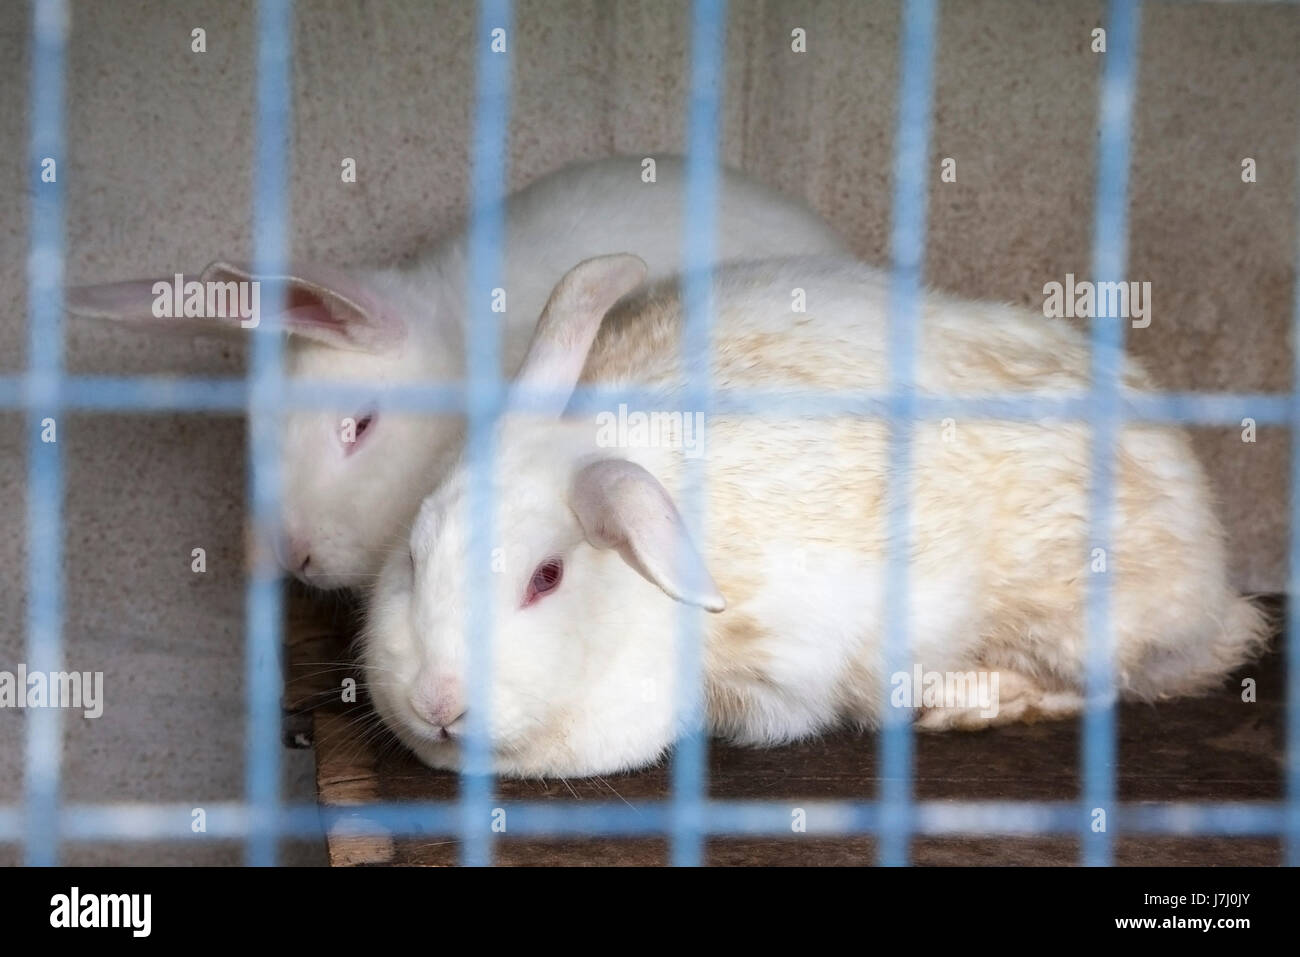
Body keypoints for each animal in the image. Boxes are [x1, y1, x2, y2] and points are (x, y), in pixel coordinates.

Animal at [363, 253, 1269, 778]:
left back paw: (963, 699)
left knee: (1101, 690)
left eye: (545, 578)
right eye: (412, 556)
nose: (437, 701)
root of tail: (1216, 598)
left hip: (1080, 620)